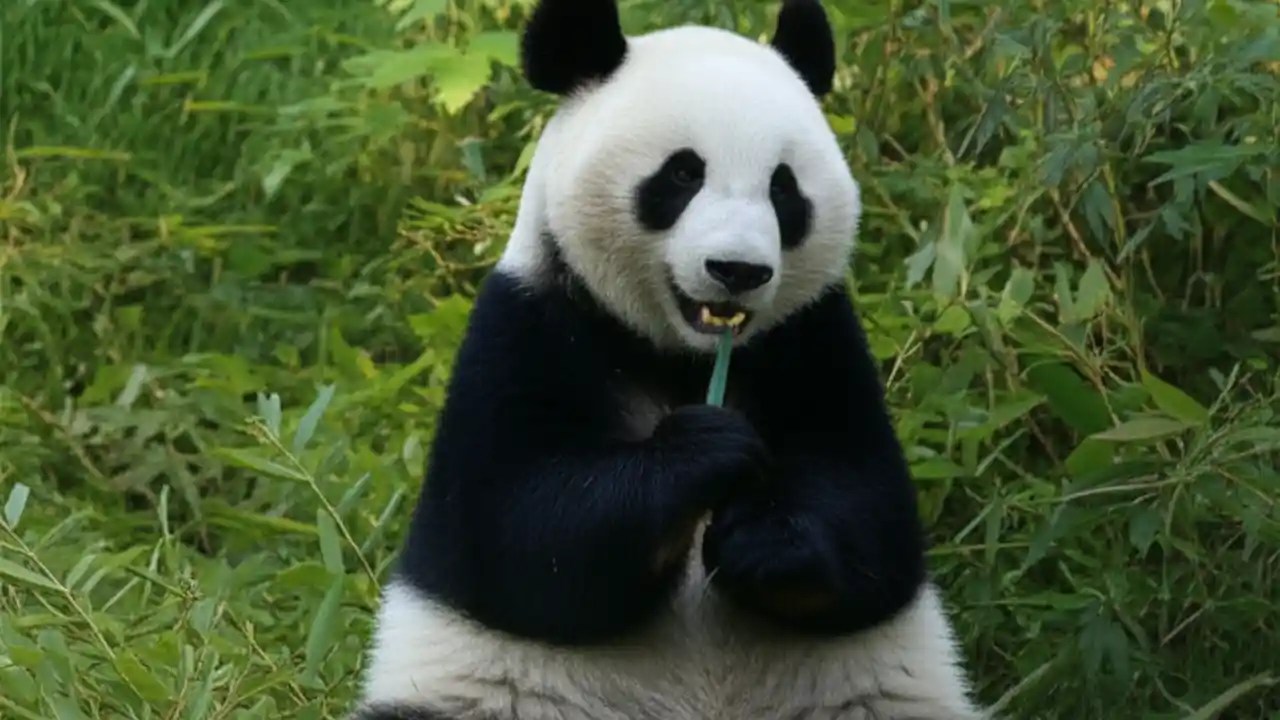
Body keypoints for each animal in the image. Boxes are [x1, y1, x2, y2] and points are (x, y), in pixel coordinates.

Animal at [349, 0, 984, 718]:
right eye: (683, 173)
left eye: (784, 189)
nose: (737, 270)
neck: (684, 359)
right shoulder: (525, 330)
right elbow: (519, 537)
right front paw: (703, 450)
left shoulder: (816, 342)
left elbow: (870, 517)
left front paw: (765, 538)